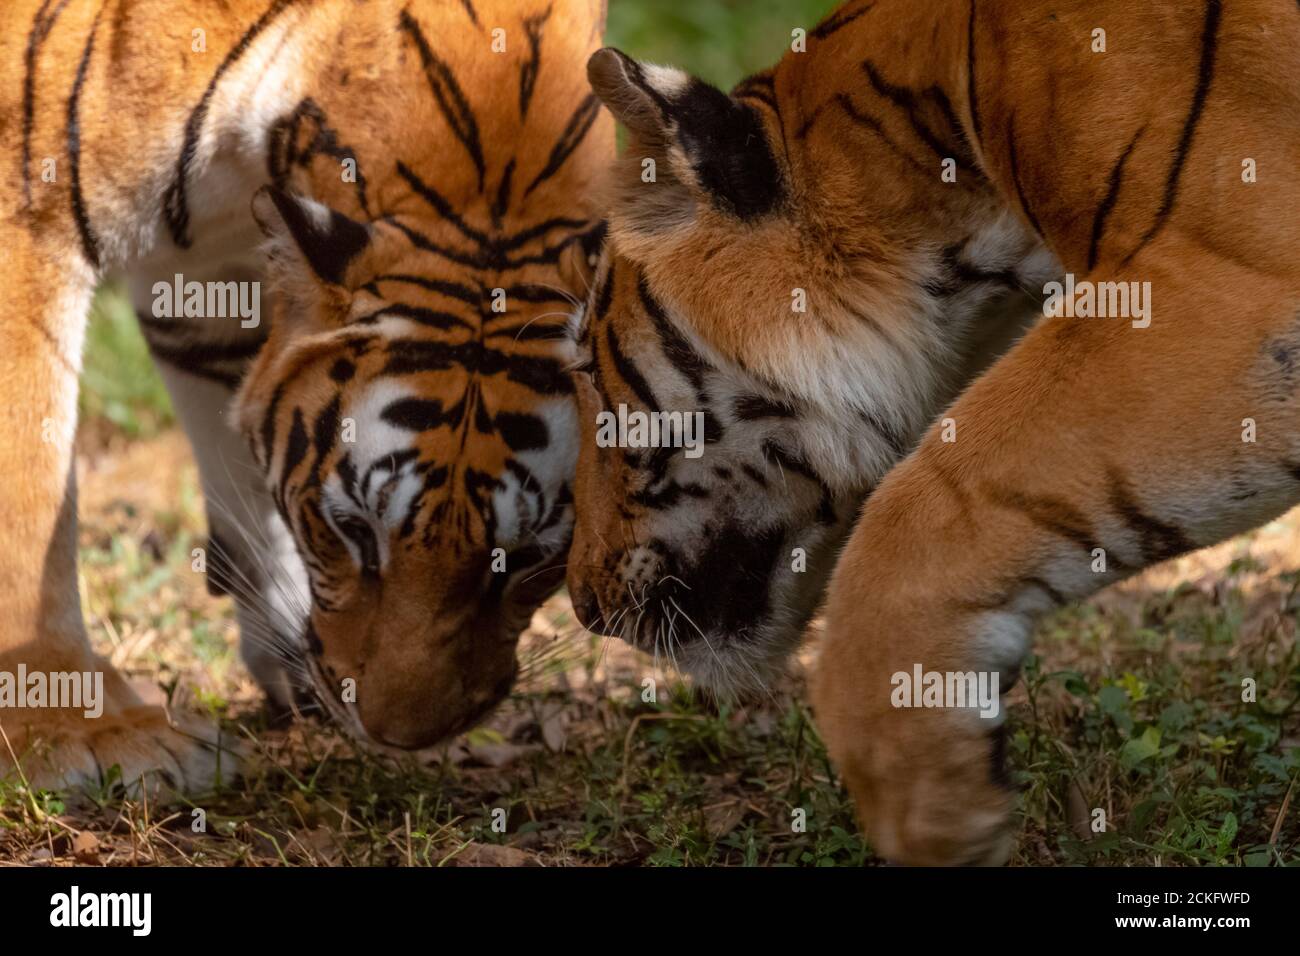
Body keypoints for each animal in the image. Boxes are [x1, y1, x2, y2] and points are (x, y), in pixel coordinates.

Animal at [0, 0, 612, 793]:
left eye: (529, 556)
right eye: (352, 530)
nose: (400, 737)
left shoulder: (209, 275)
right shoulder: (25, 218)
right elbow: (29, 495)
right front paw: (81, 731)